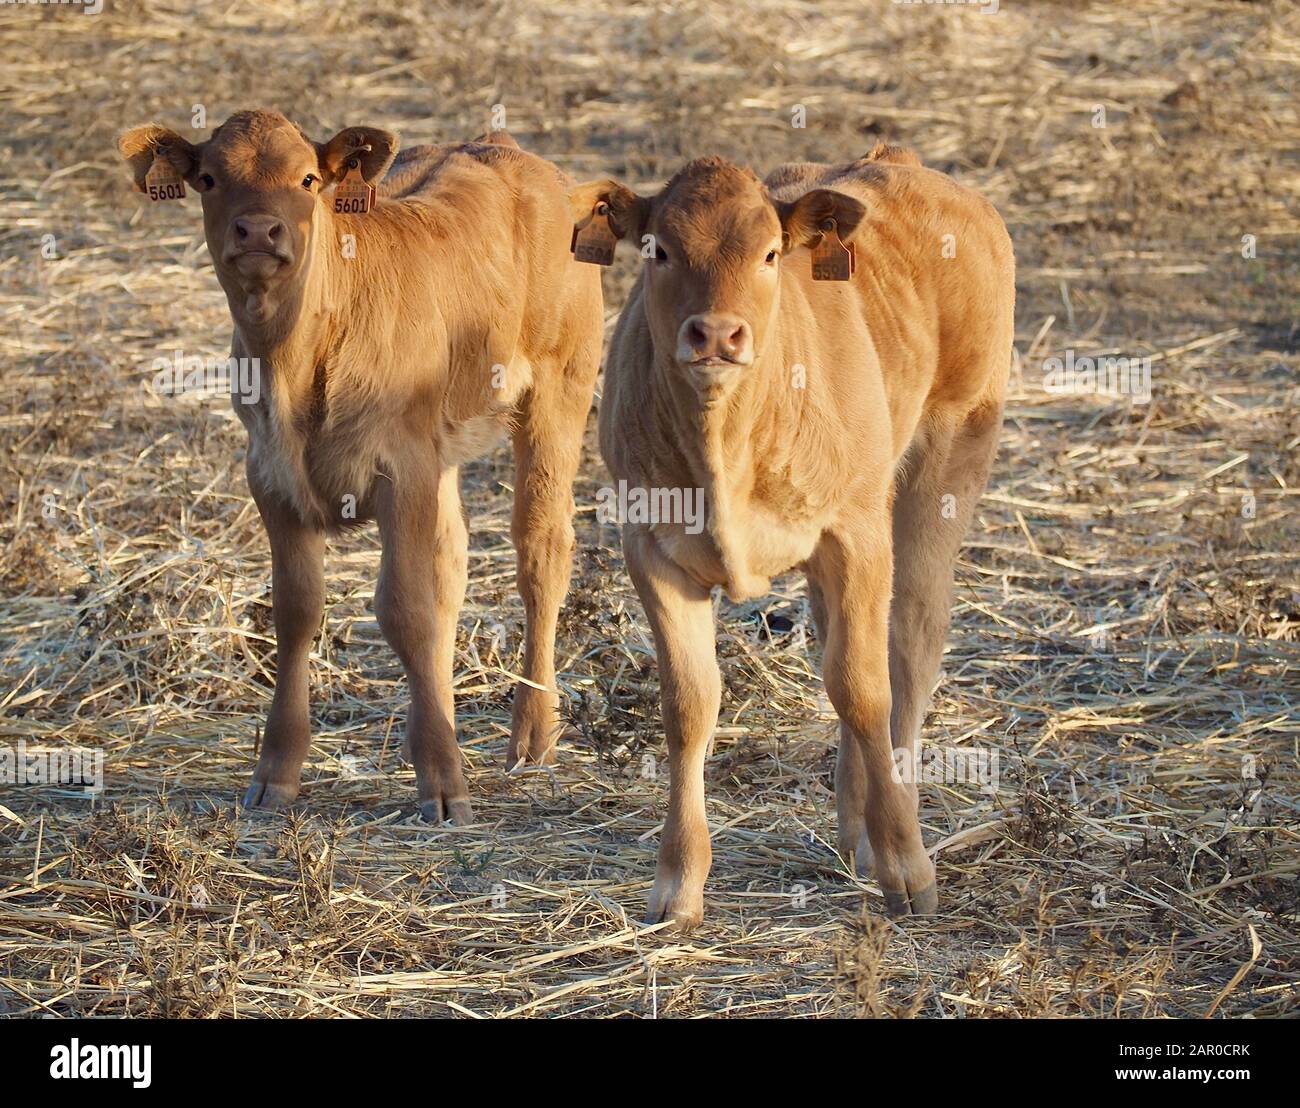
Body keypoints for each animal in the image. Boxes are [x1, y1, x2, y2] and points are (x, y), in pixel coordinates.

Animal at [119, 110, 603, 822]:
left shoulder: (401, 471)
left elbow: (404, 607)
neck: (296, 361)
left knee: (541, 551)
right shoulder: (272, 477)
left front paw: (443, 784)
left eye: (307, 179)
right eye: (208, 179)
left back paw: (532, 735)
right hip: (442, 449)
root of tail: (510, 150)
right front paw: (277, 772)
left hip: (559, 392)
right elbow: (298, 612)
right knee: (451, 566)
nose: (258, 231)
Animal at [571, 143, 1014, 928]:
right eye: (658, 250)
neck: (725, 441)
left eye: (771, 253)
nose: (717, 334)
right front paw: (678, 883)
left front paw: (907, 866)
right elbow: (690, 705)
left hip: (950, 459)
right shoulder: (651, 548)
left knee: (908, 644)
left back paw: (889, 825)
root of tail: (903, 162)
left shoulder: (855, 531)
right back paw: (853, 827)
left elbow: (864, 689)